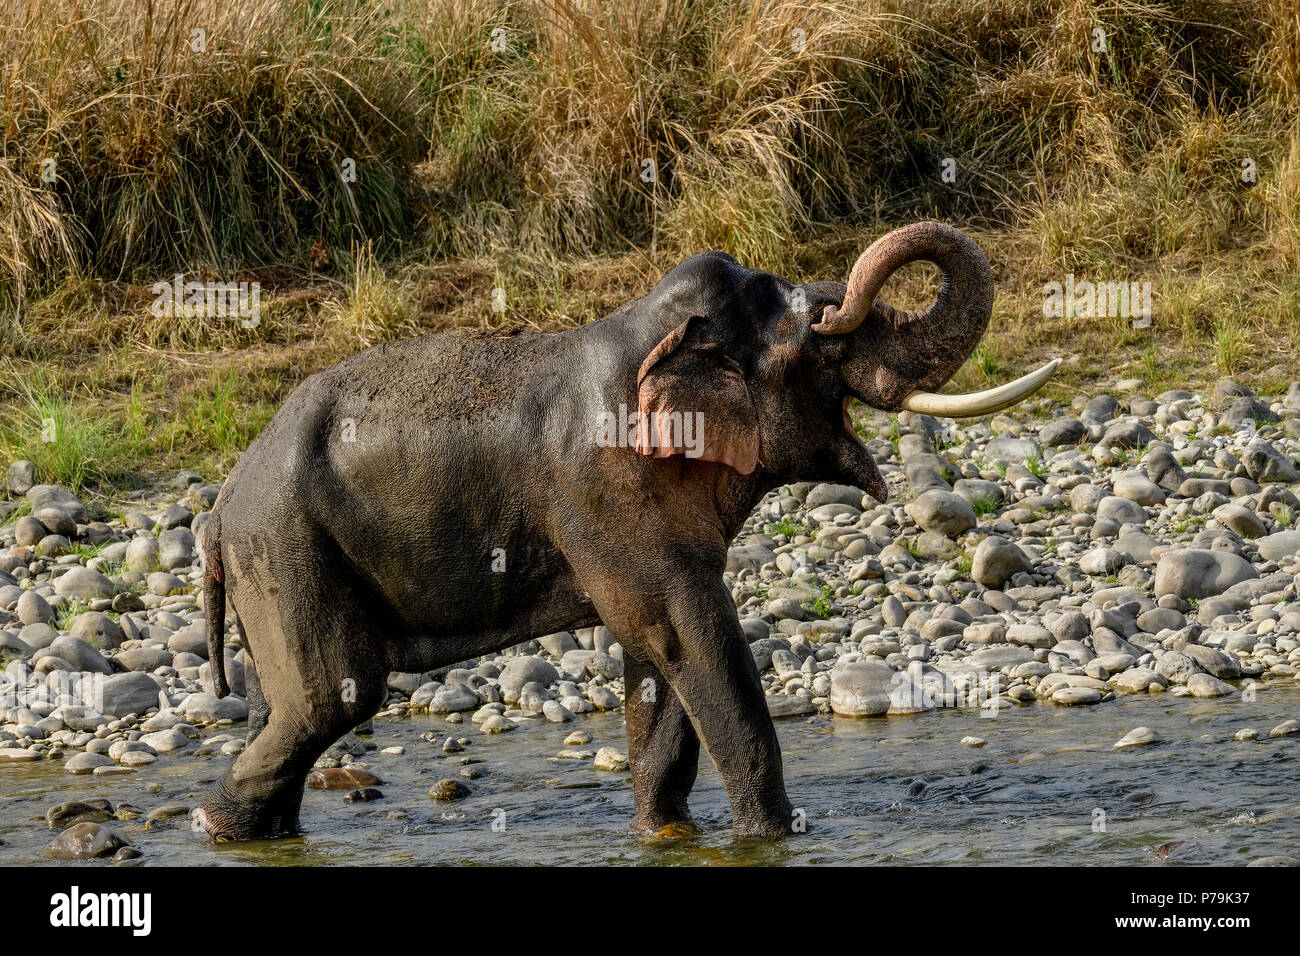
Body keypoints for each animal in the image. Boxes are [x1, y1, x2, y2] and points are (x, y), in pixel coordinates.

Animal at [192, 221, 1057, 842]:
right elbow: (688, 635)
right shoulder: (604, 491)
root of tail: (223, 499)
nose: (831, 301)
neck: (653, 335)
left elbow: (658, 655)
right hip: (287, 545)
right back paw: (219, 824)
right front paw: (773, 837)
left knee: (288, 709)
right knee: (330, 696)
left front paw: (664, 833)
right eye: (819, 336)